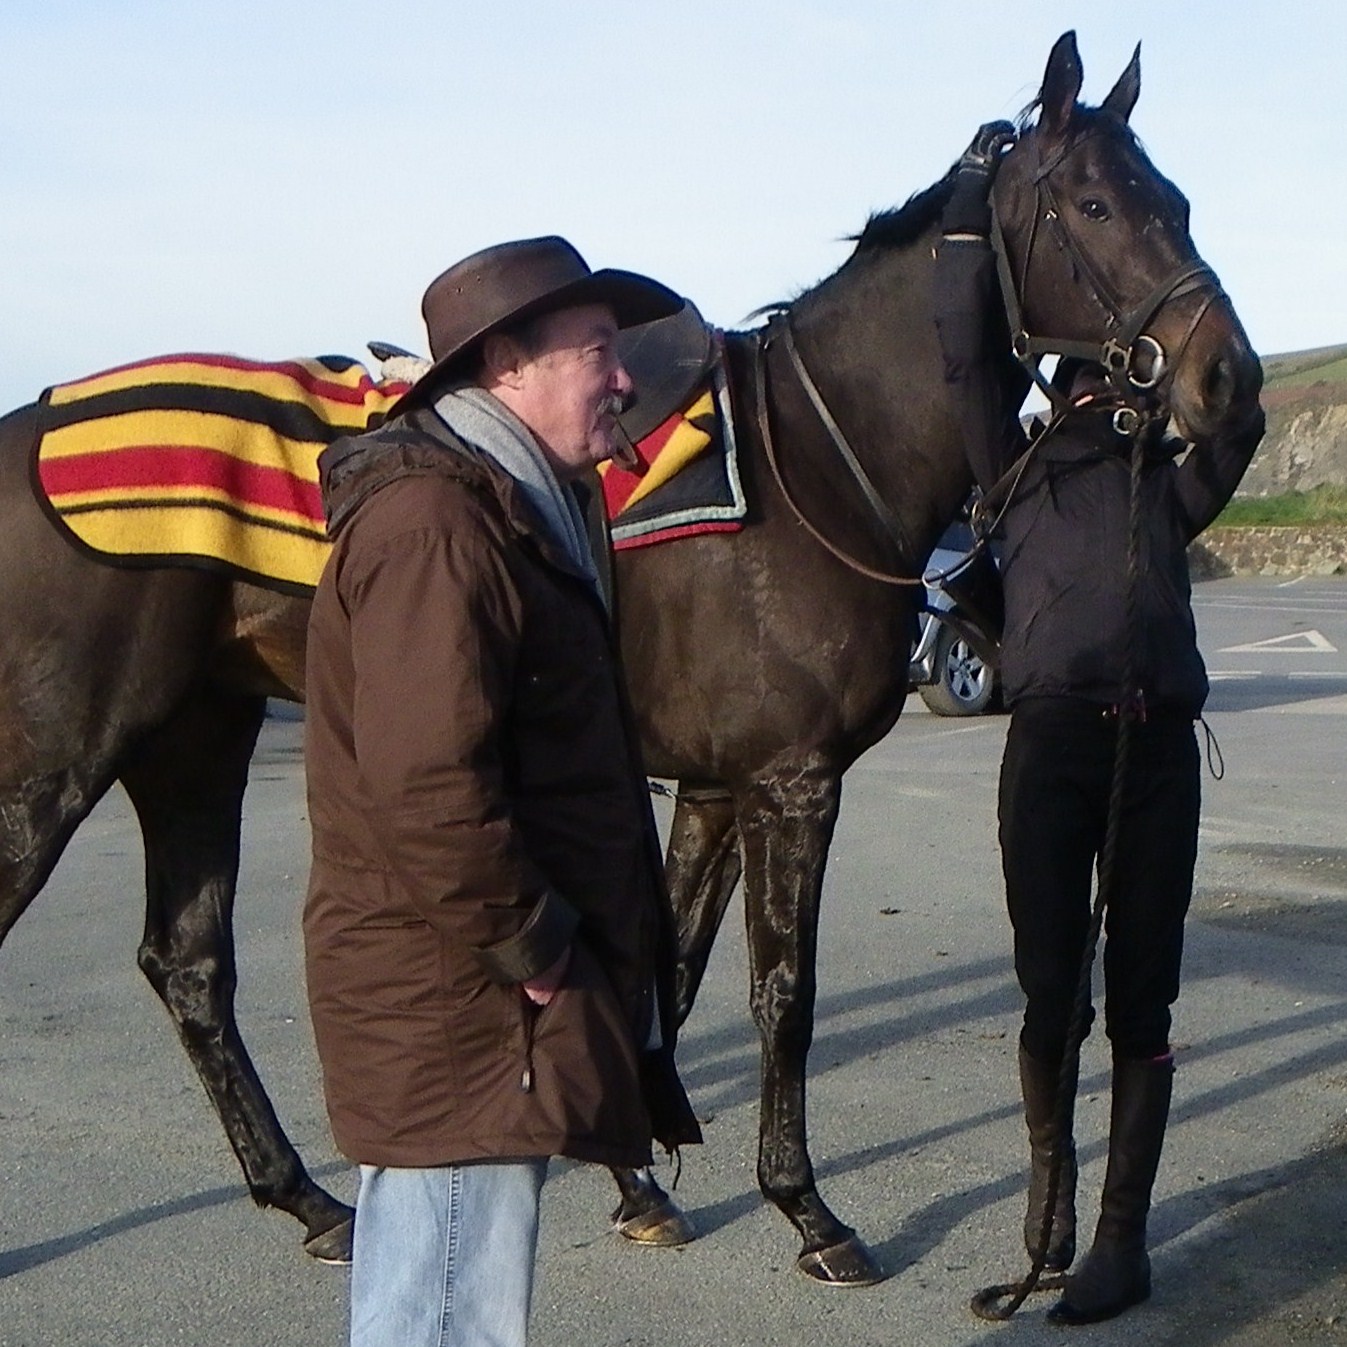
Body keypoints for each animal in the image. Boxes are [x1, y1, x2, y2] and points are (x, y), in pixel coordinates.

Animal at [0, 32, 1262, 1282]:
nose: (1229, 382)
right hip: (59, 760)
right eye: (1094, 204)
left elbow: (671, 972)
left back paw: (307, 1197)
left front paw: (636, 1177)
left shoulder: (711, 785)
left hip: (193, 743)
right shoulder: (790, 784)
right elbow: (781, 993)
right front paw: (806, 1209)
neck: (810, 468)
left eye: (1180, 202)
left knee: (189, 965)